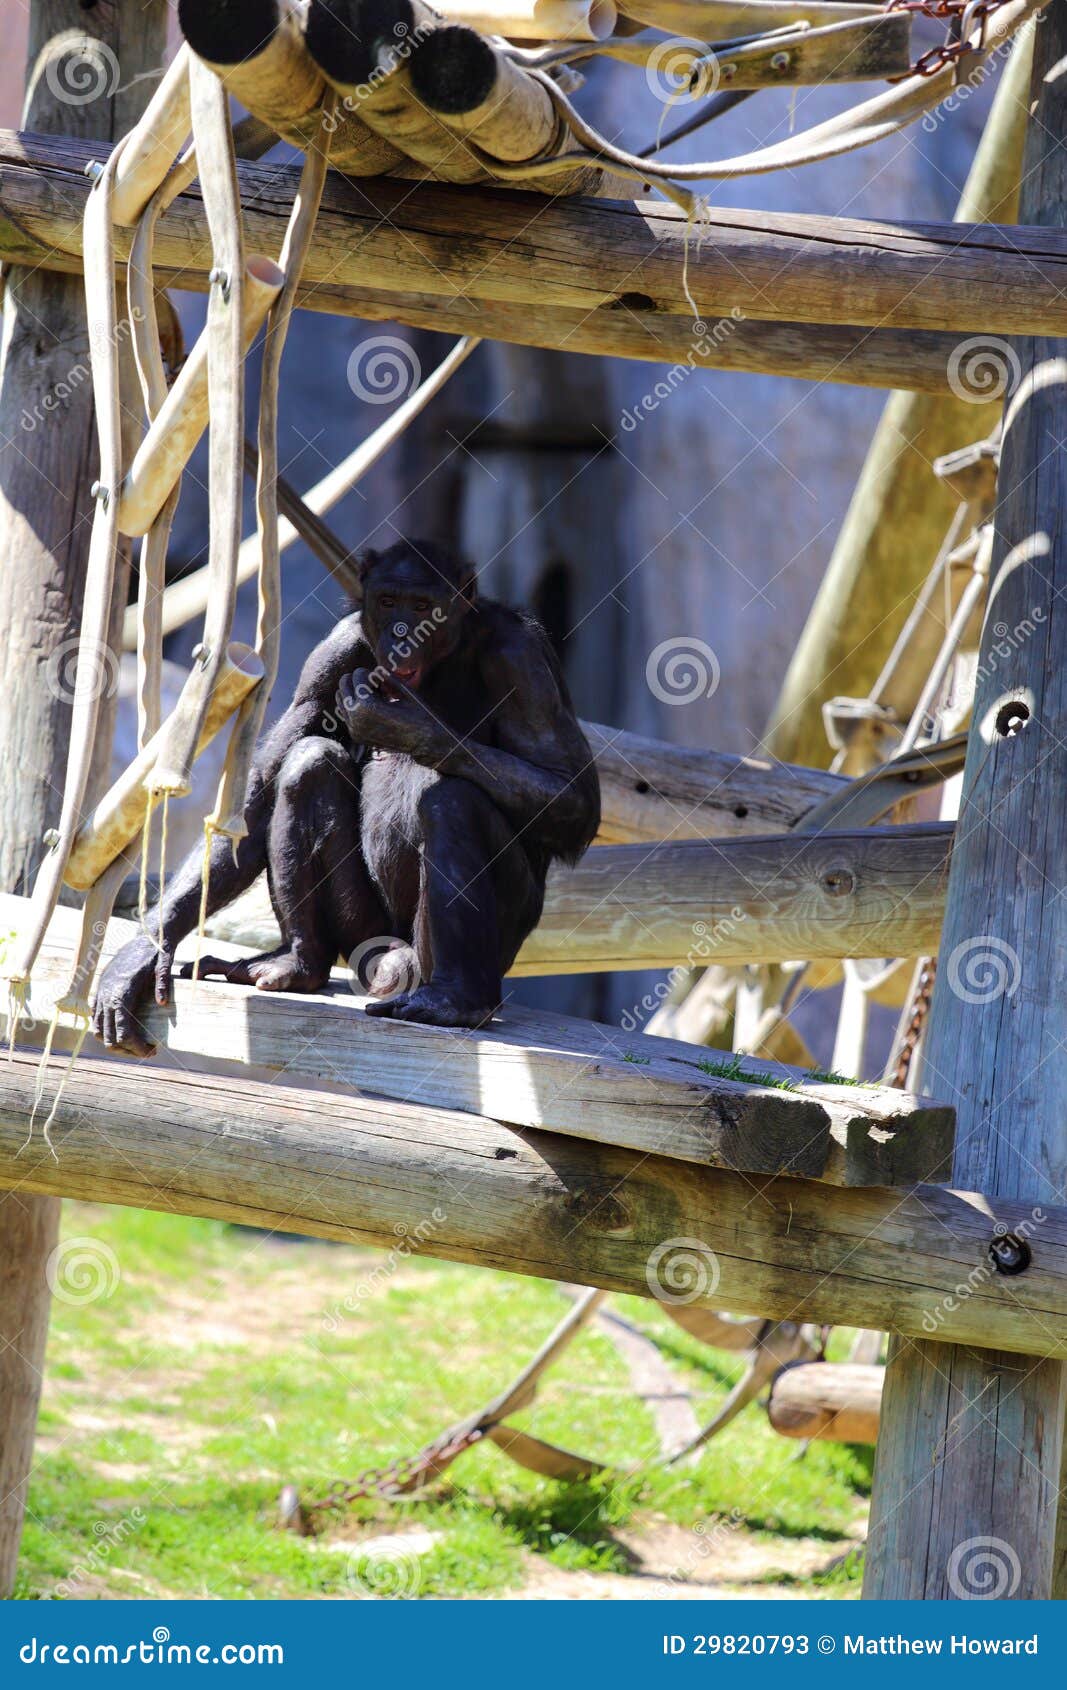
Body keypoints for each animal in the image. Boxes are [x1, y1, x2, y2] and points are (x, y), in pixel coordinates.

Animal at [91, 539, 600, 1053]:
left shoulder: (521, 659)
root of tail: (389, 961)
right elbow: (259, 795)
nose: (401, 632)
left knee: (453, 802)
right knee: (309, 762)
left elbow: (571, 792)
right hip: (361, 936)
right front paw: (143, 952)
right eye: (388, 602)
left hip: (479, 946)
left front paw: (405, 723)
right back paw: (298, 963)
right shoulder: (335, 651)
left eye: (423, 607)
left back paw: (456, 1000)